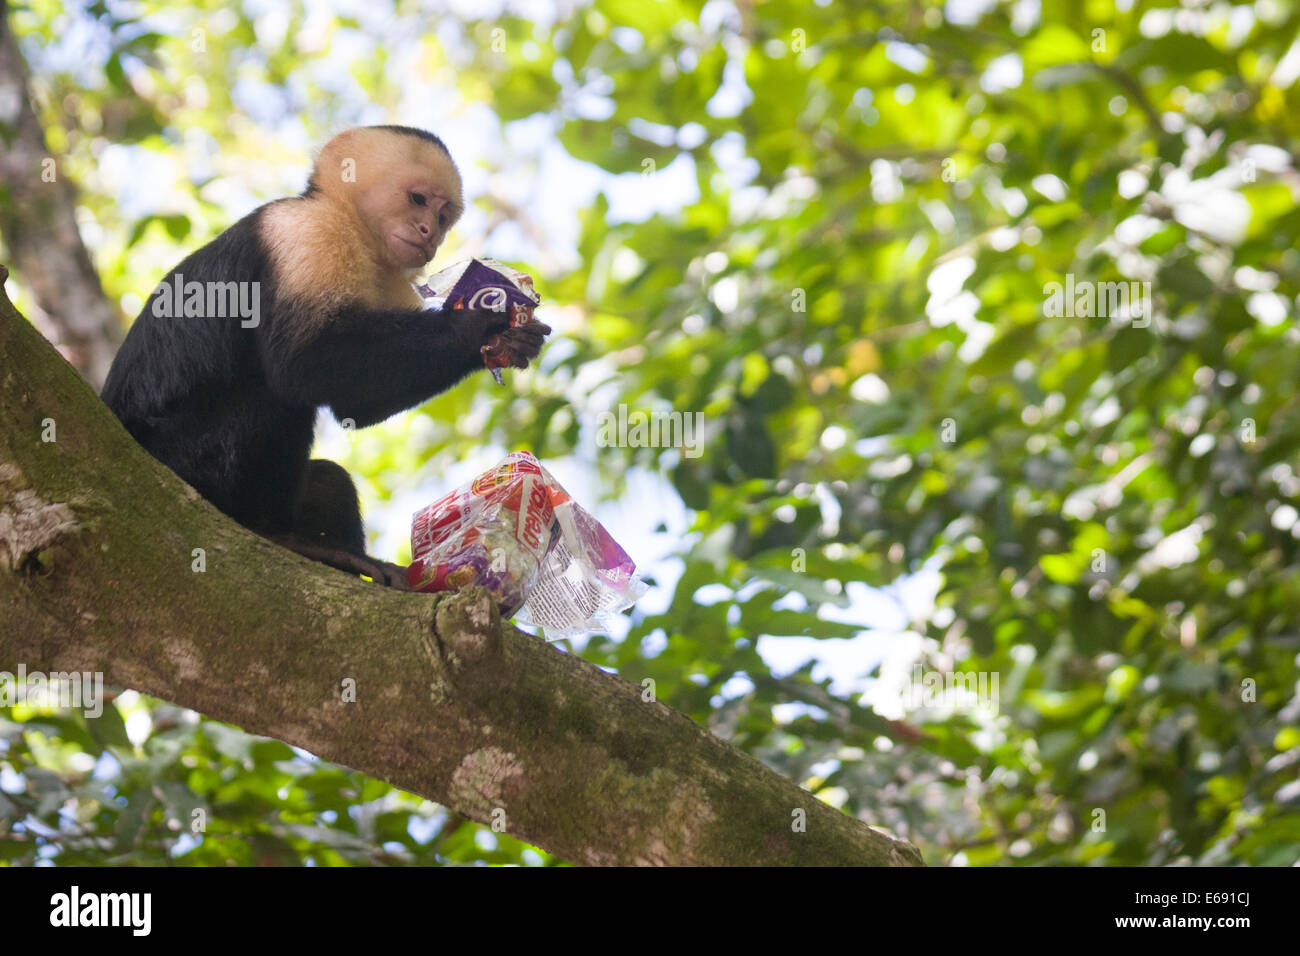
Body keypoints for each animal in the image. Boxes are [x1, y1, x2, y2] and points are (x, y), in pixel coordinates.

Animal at [100, 126, 550, 588]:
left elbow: (356, 402)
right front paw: (478, 324)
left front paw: (511, 340)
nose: (429, 232)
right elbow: (304, 365)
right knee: (270, 397)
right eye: (418, 200)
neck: (354, 228)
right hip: (177, 461)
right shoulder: (307, 231)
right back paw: (275, 533)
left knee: (328, 477)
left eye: (444, 216)